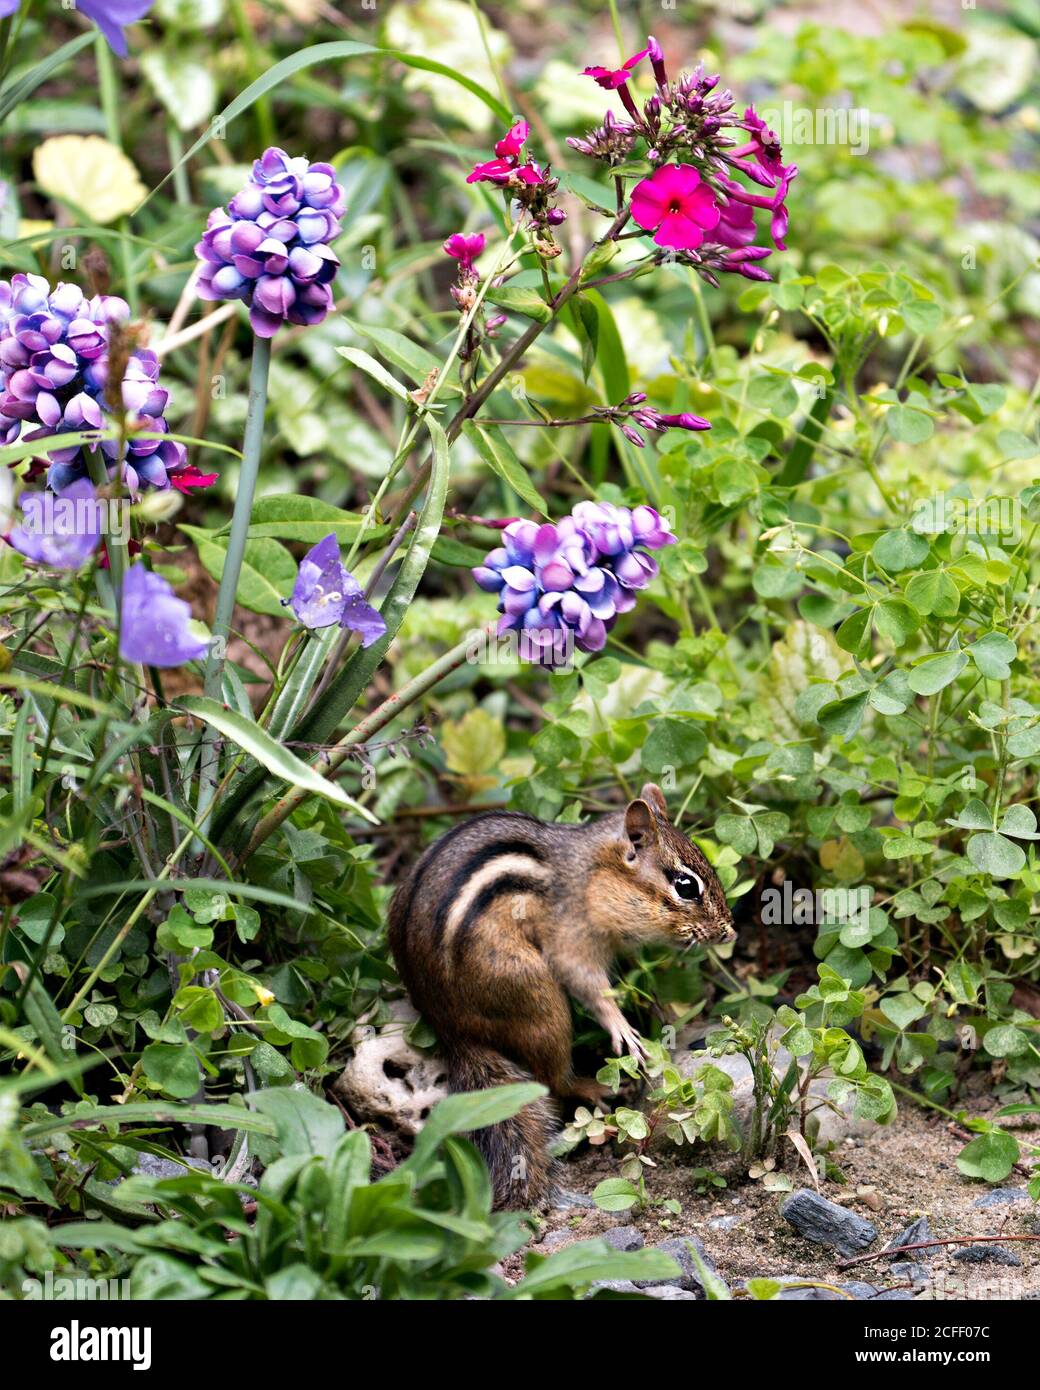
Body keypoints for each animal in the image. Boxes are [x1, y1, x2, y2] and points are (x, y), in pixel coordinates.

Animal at [387, 782, 735, 1209]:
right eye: (686, 886)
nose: (729, 932)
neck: (591, 874)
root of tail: (452, 1029)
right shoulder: (571, 934)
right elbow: (585, 980)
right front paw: (622, 1028)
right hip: (536, 998)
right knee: (550, 1079)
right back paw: (593, 1087)